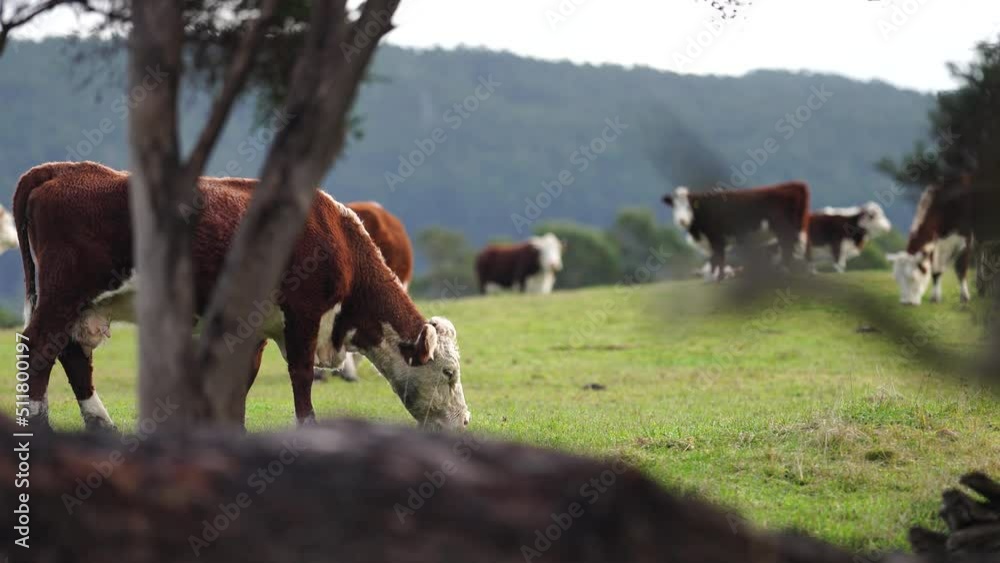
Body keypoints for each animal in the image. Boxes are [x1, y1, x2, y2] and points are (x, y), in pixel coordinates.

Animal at [13, 161, 470, 431]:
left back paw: (100, 423)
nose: (465, 422)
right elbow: (301, 377)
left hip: (81, 305)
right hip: (64, 293)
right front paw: (307, 427)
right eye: (449, 373)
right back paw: (39, 425)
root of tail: (64, 170)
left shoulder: (256, 327)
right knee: (37, 347)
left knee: (72, 355)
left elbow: (241, 382)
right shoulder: (302, 314)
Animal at [662, 182, 810, 281]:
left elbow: (719, 258)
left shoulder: (716, 237)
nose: (681, 220)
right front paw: (716, 277)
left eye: (689, 206)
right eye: (674, 206)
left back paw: (785, 271)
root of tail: (794, 185)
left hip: (786, 230)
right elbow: (716, 259)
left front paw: (718, 278)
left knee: (788, 249)